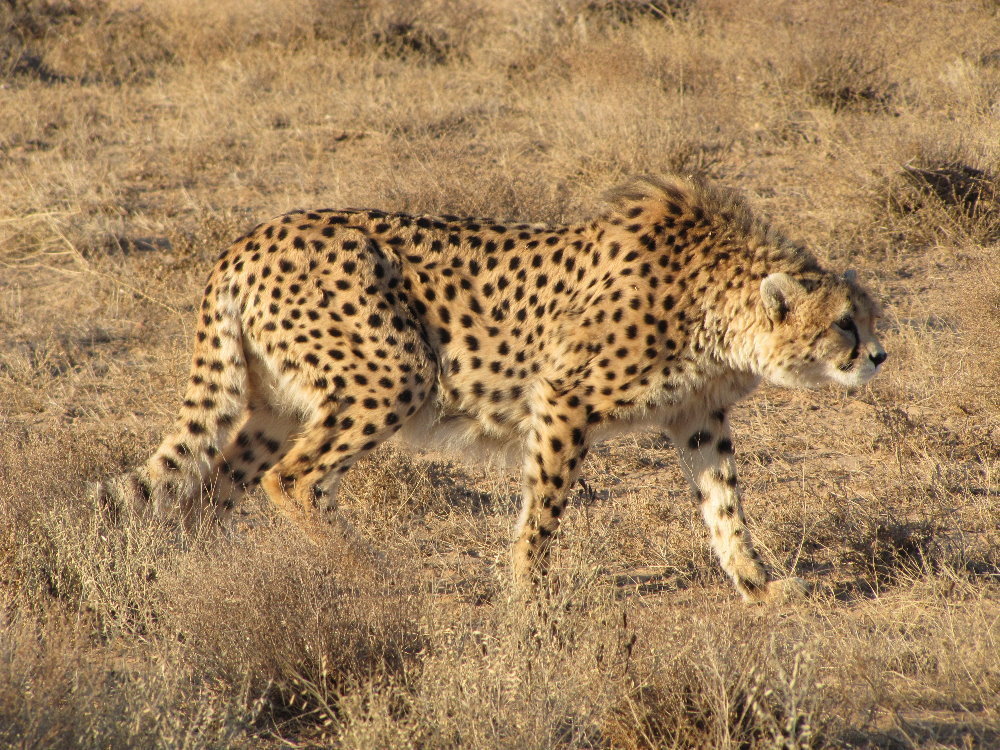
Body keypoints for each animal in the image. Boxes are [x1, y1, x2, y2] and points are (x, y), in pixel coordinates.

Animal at [92, 173, 886, 603]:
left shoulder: (697, 418)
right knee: (290, 479)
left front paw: (758, 585)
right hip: (395, 373)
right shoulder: (563, 396)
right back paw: (372, 571)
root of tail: (250, 238)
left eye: (872, 317)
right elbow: (544, 509)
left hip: (276, 405)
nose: (878, 355)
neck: (717, 301)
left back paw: (207, 577)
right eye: (845, 323)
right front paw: (529, 596)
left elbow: (725, 509)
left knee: (213, 485)